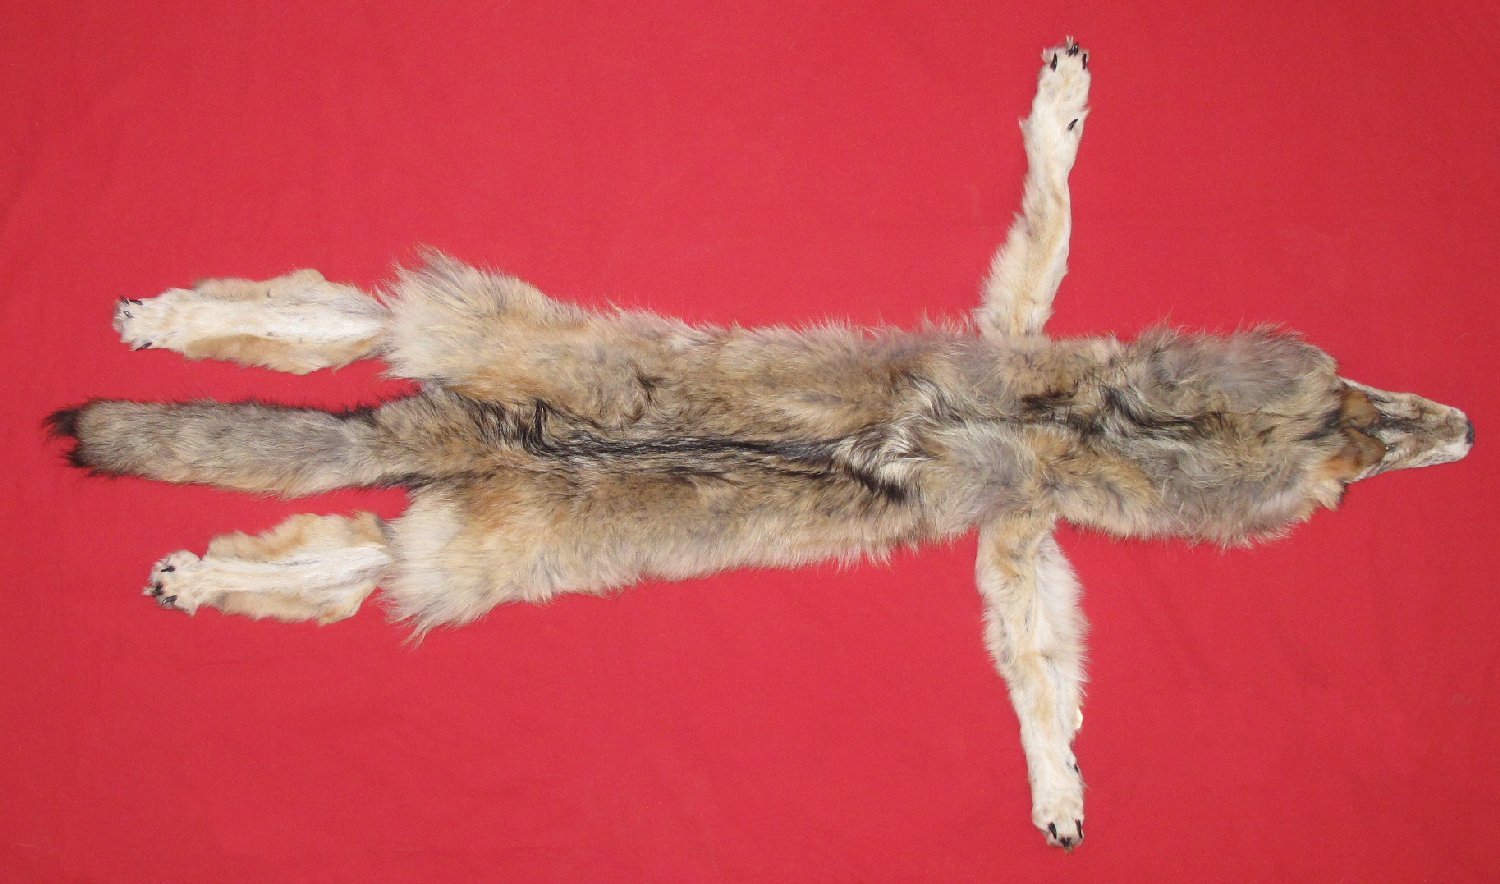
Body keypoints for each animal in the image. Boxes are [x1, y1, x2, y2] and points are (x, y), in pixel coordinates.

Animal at [49, 39, 1472, 849]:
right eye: (1354, 455)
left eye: (1364, 418)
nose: (1461, 423)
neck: (1081, 418)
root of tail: (443, 434)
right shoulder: (1017, 442)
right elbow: (1037, 655)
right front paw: (1058, 780)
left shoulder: (1020, 470)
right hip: (483, 389)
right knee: (346, 463)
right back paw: (190, 441)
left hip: (465, 468)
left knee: (347, 454)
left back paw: (187, 375)